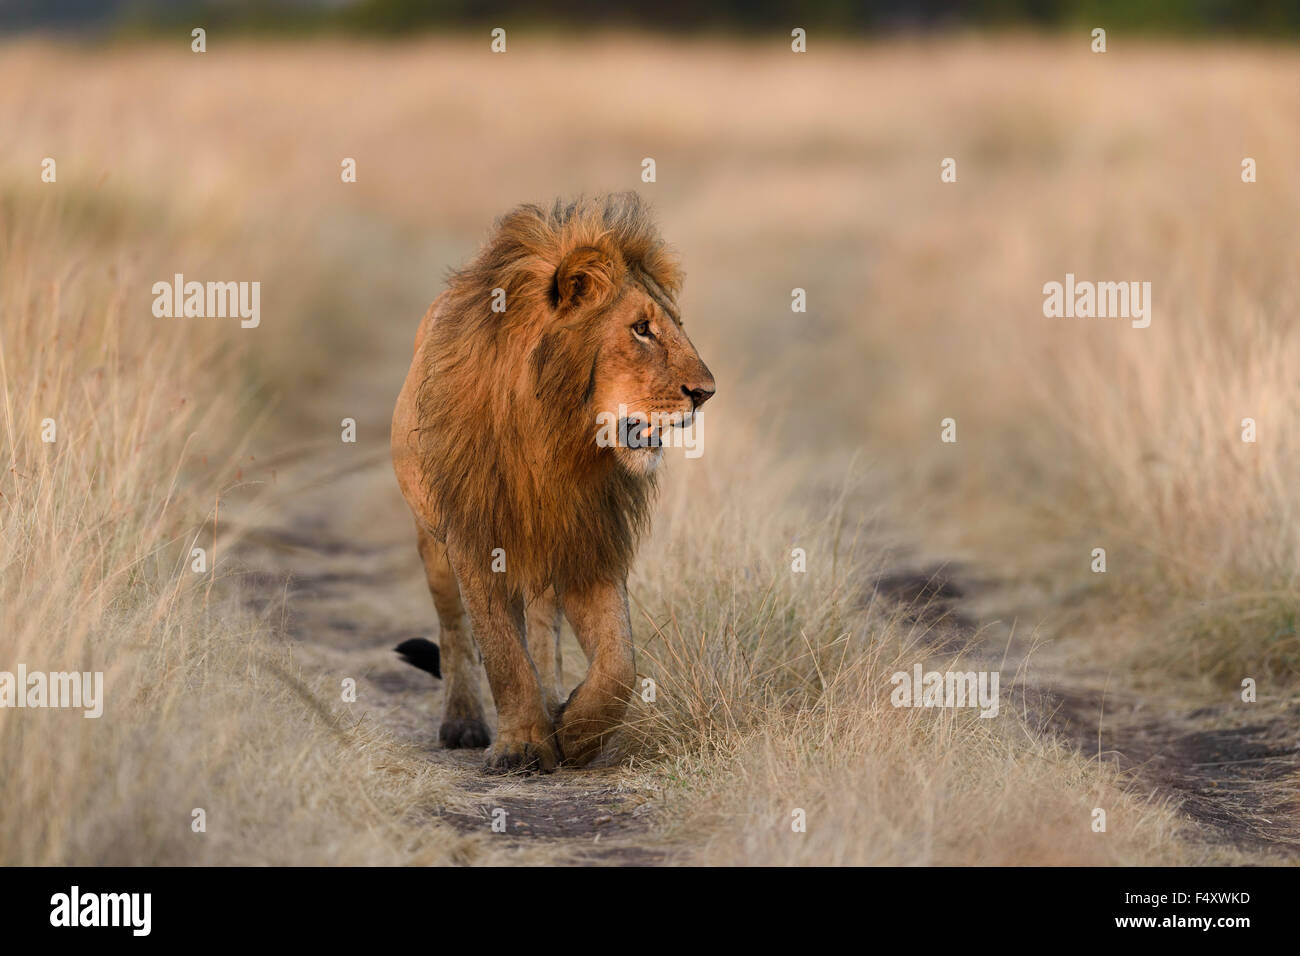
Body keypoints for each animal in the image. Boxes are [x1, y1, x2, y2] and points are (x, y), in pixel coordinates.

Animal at [390, 193, 715, 772]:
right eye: (641, 328)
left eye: (676, 324)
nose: (706, 392)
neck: (556, 438)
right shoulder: (474, 539)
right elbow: (501, 651)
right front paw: (522, 743)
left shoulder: (590, 539)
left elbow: (619, 664)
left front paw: (574, 732)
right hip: (432, 538)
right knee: (454, 630)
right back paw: (463, 721)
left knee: (543, 630)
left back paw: (550, 701)